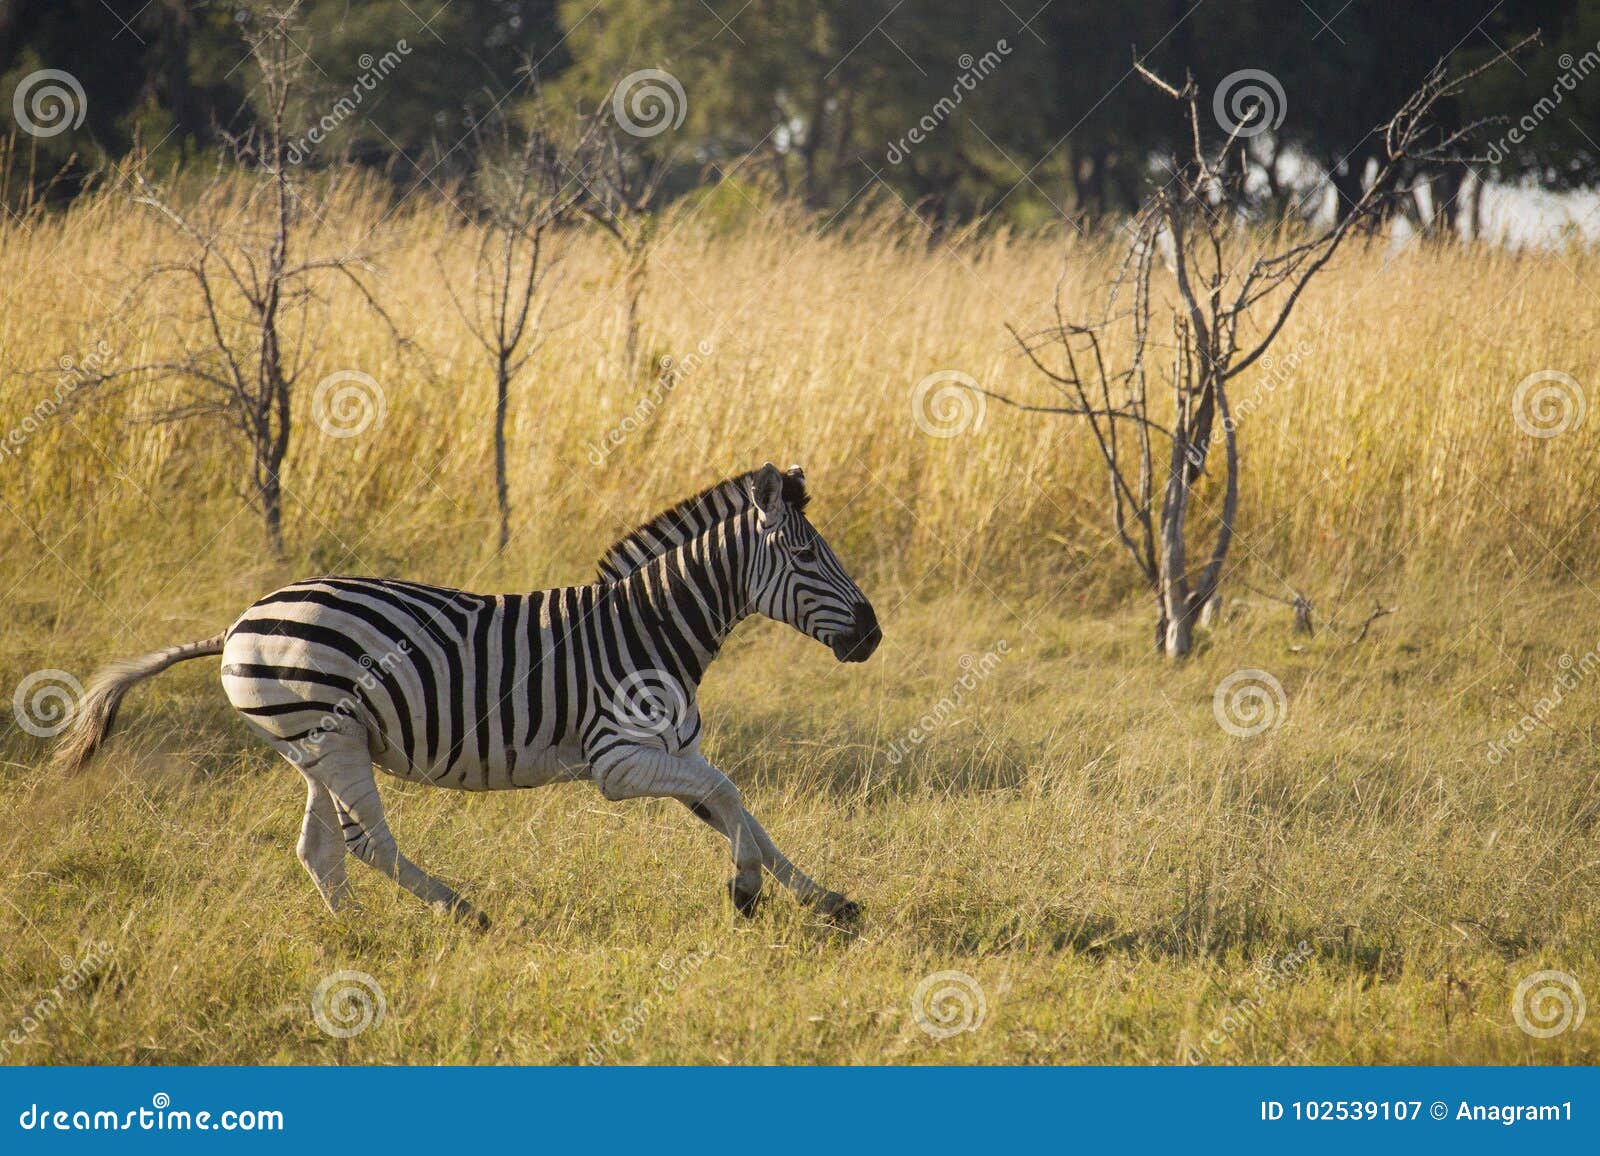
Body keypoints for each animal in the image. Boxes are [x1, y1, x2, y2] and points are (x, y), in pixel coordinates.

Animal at [53, 463, 881, 928]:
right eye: (806, 556)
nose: (872, 634)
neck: (651, 628)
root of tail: (235, 624)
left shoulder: (673, 750)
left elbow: (741, 810)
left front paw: (825, 900)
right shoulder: (617, 763)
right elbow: (731, 796)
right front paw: (745, 893)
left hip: (311, 745)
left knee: (321, 847)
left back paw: (358, 935)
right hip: (331, 736)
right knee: (367, 841)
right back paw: (461, 914)